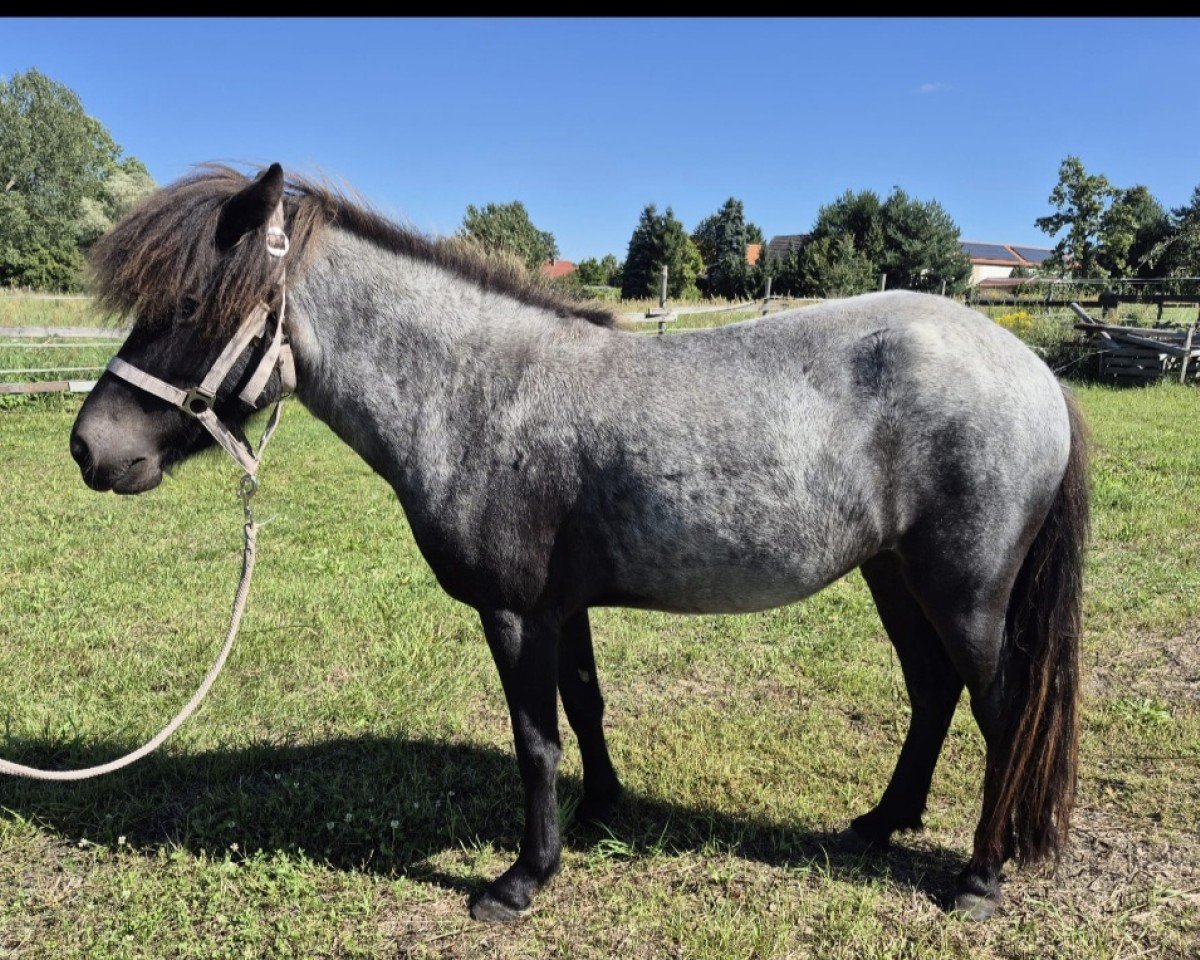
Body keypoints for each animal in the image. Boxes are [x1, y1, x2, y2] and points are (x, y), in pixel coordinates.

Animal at [69, 163, 1088, 923]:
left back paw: (978, 877)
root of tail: (1033, 370)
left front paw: (522, 880)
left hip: (963, 593)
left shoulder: (516, 613)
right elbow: (587, 709)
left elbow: (536, 740)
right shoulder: (565, 609)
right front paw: (599, 815)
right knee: (932, 693)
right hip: (894, 577)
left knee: (1001, 713)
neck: (477, 391)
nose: (90, 447)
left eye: (194, 302)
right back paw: (882, 821)